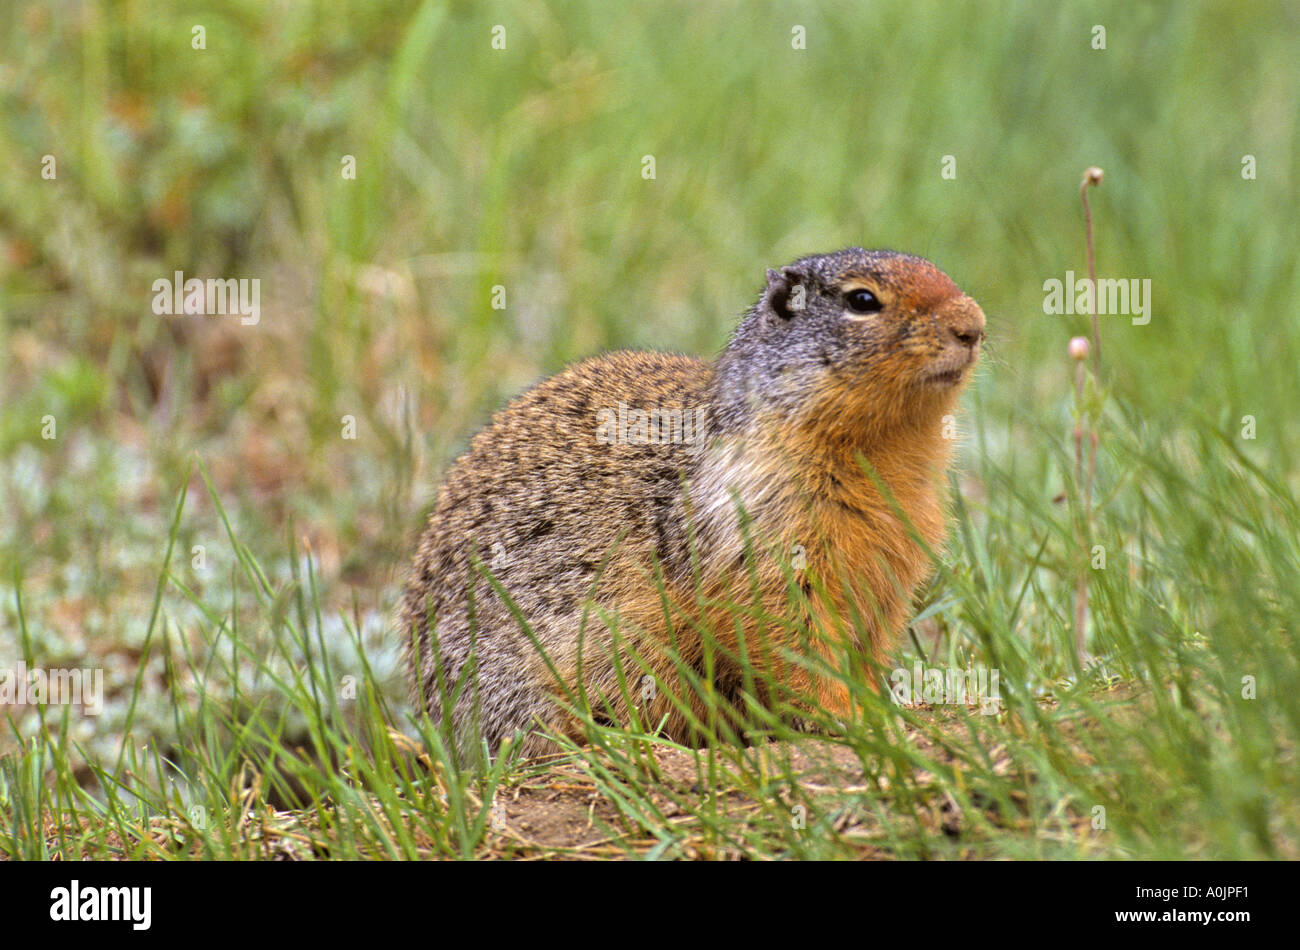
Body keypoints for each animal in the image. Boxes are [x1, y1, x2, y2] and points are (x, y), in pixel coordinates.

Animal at [398, 248, 986, 759]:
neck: (886, 449)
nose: (973, 325)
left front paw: (884, 708)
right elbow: (792, 636)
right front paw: (847, 718)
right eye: (863, 300)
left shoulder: (891, 575)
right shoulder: (761, 534)